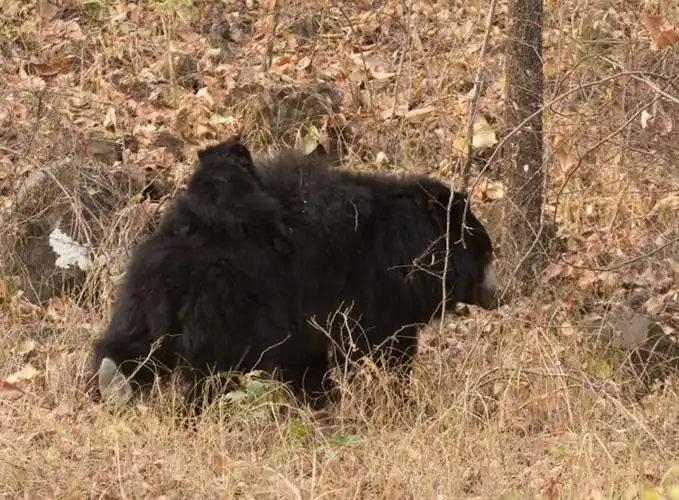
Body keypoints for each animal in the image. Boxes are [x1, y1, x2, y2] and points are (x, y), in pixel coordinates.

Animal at [92, 136, 500, 416]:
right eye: (485, 254)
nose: (500, 295)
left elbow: (308, 363)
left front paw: (321, 402)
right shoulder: (368, 292)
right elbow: (381, 349)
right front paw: (394, 397)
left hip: (145, 293)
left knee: (132, 342)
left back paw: (109, 384)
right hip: (225, 307)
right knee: (209, 369)